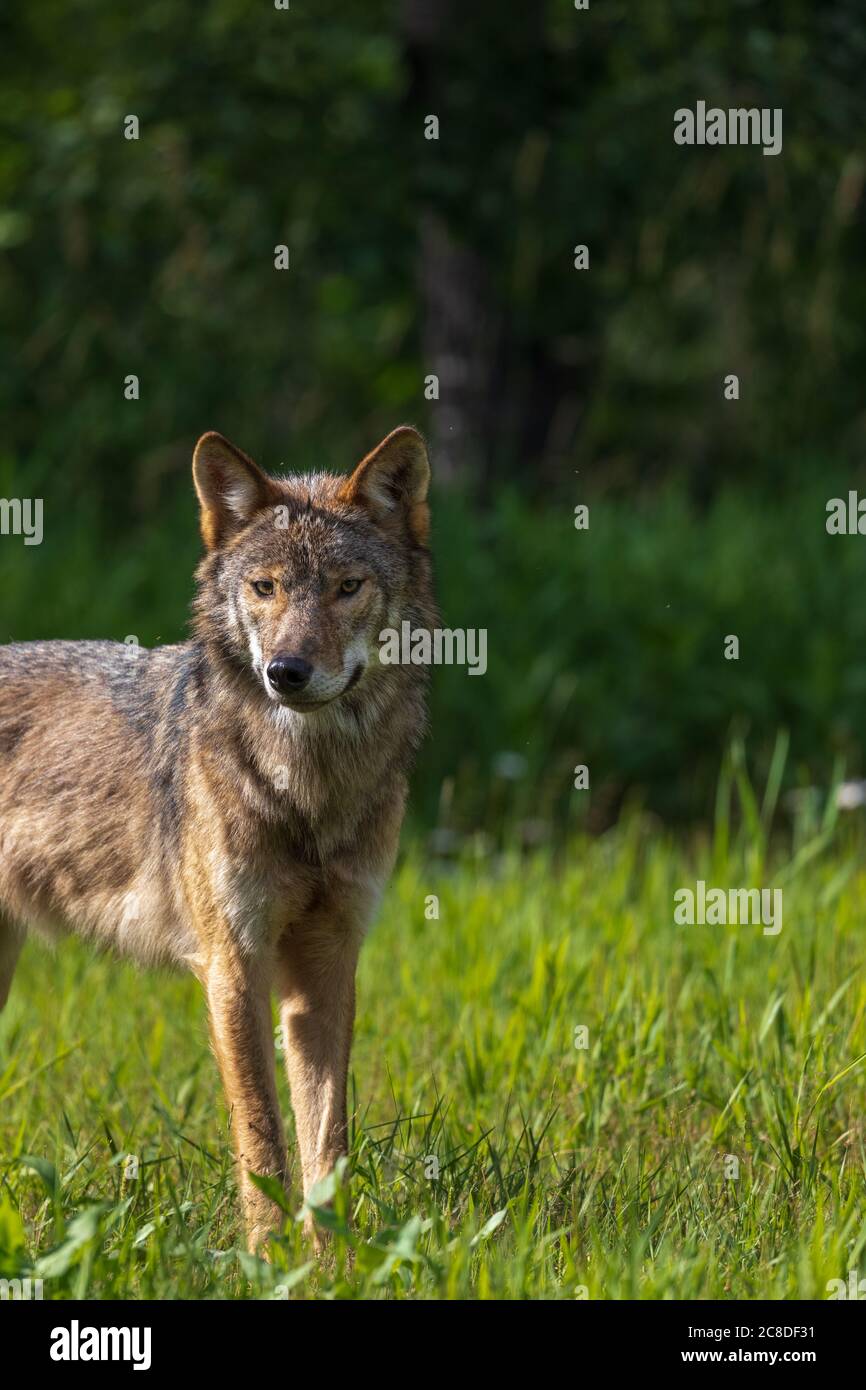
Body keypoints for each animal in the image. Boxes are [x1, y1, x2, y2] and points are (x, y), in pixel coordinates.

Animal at [0, 426, 436, 1250]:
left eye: (347, 587)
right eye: (265, 588)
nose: (287, 672)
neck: (306, 790)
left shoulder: (328, 965)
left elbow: (326, 1140)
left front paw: (332, 1261)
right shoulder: (233, 964)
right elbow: (262, 1137)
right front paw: (266, 1256)